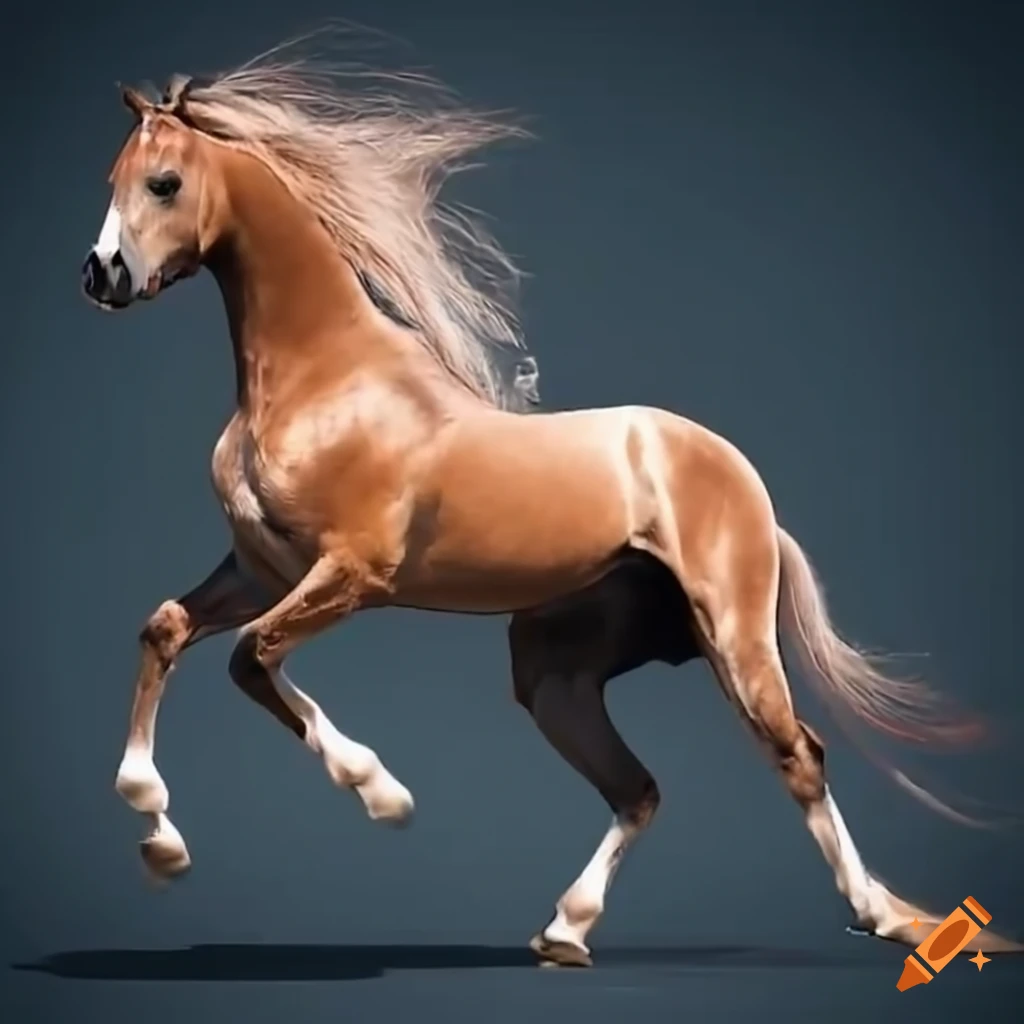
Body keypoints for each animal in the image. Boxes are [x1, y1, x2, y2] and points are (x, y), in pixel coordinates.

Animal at [80, 47, 1020, 966]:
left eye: (164, 182)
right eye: (112, 178)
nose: (102, 274)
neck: (325, 377)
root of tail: (743, 482)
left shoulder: (352, 574)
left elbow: (252, 658)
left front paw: (382, 793)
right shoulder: (259, 568)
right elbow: (166, 630)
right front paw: (157, 831)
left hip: (734, 638)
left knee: (797, 757)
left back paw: (885, 917)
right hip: (555, 674)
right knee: (639, 789)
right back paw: (565, 931)